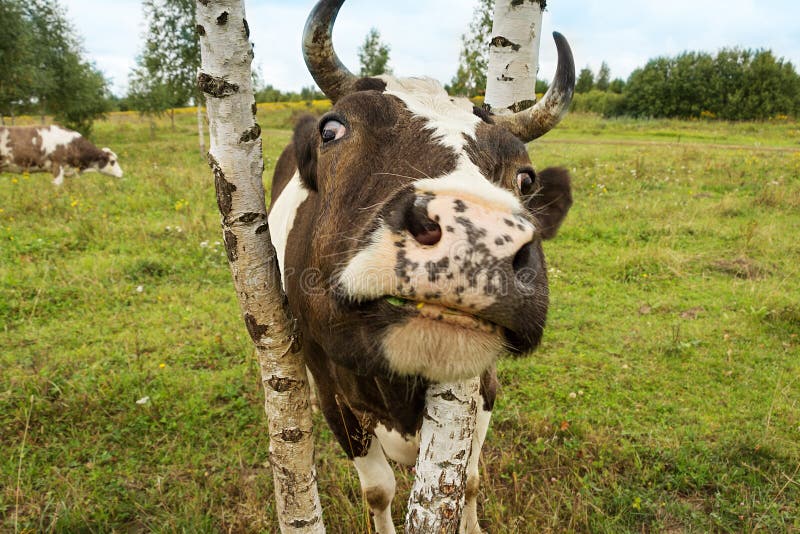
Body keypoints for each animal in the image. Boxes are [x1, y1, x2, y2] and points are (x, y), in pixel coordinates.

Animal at [267, 1, 575, 532]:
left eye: (526, 177)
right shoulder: (332, 391)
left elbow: (467, 479)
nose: (479, 232)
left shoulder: (485, 385)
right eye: (333, 130)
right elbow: (378, 489)